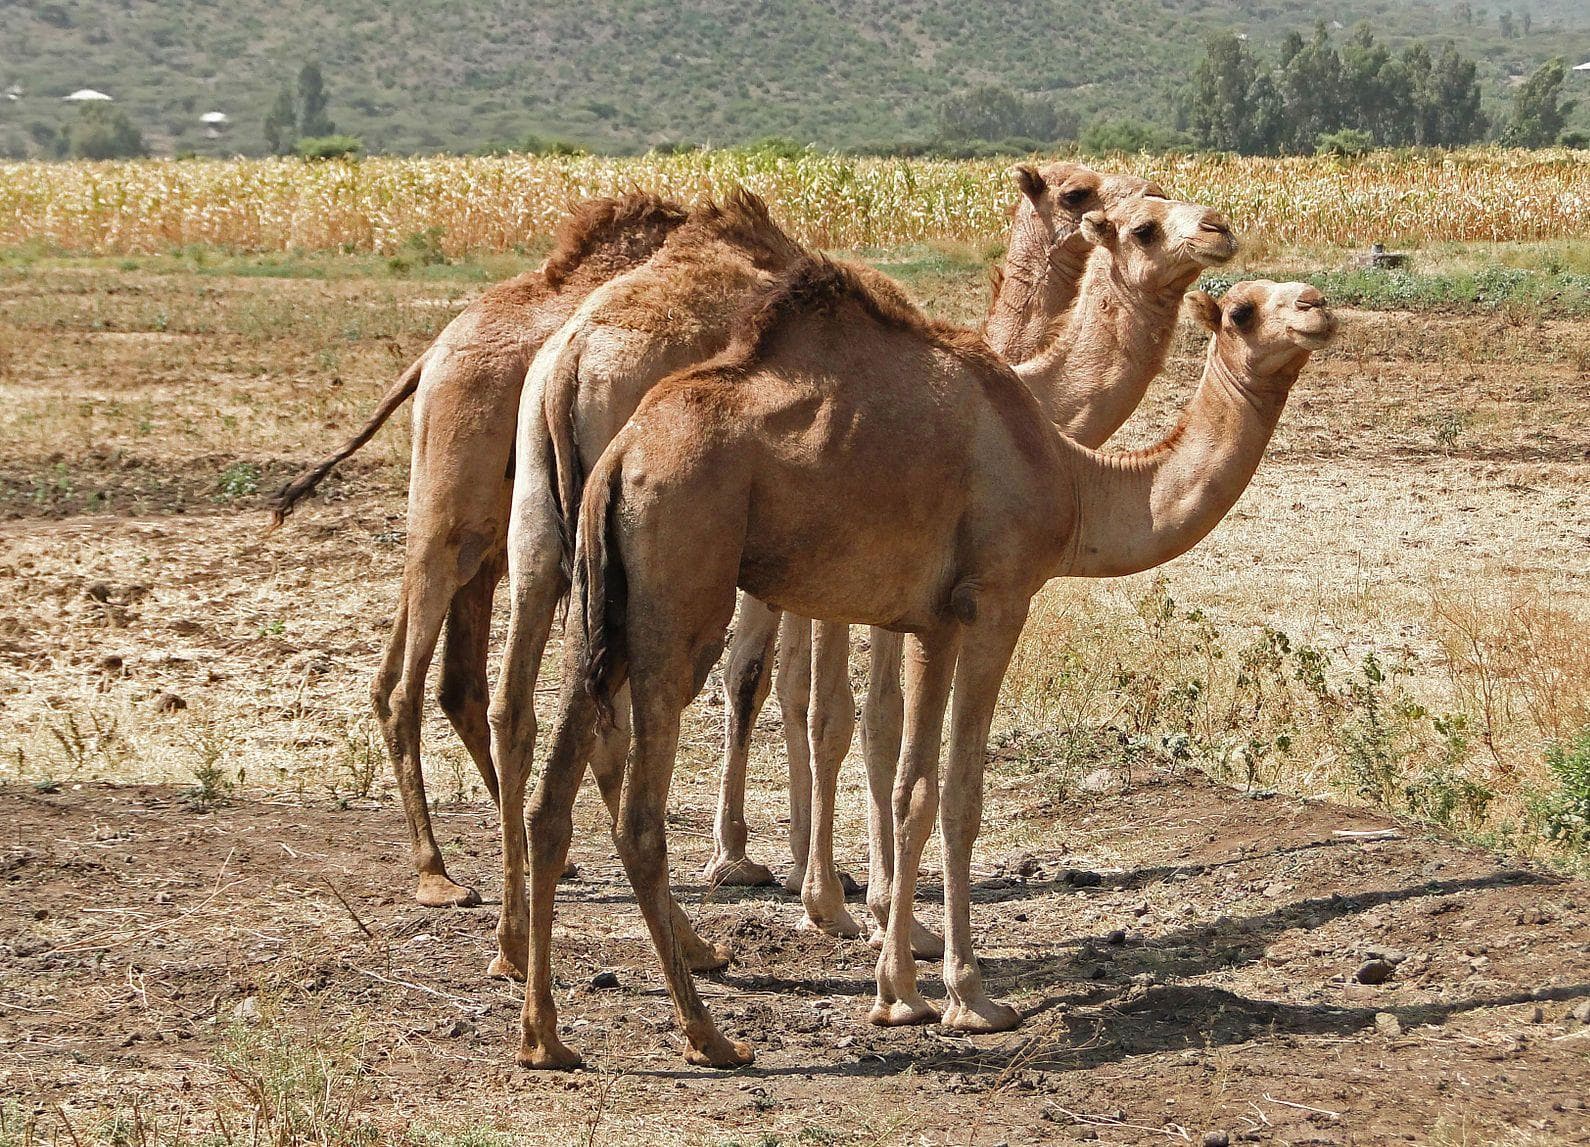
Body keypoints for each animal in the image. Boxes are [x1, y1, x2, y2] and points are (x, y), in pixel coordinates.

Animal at [269, 193, 690, 907]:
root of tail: (431, 356)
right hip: (455, 497)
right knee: (407, 686)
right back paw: (437, 875)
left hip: (477, 530)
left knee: (445, 677)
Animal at [515, 271, 1335, 1068]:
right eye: (1241, 309)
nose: (1318, 307)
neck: (1072, 480)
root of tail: (622, 458)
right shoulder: (996, 600)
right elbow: (960, 794)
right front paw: (969, 999)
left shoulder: (930, 621)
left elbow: (913, 787)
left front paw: (899, 989)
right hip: (677, 587)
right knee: (639, 816)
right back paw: (710, 1036)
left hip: (597, 604)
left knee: (550, 796)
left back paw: (546, 1037)